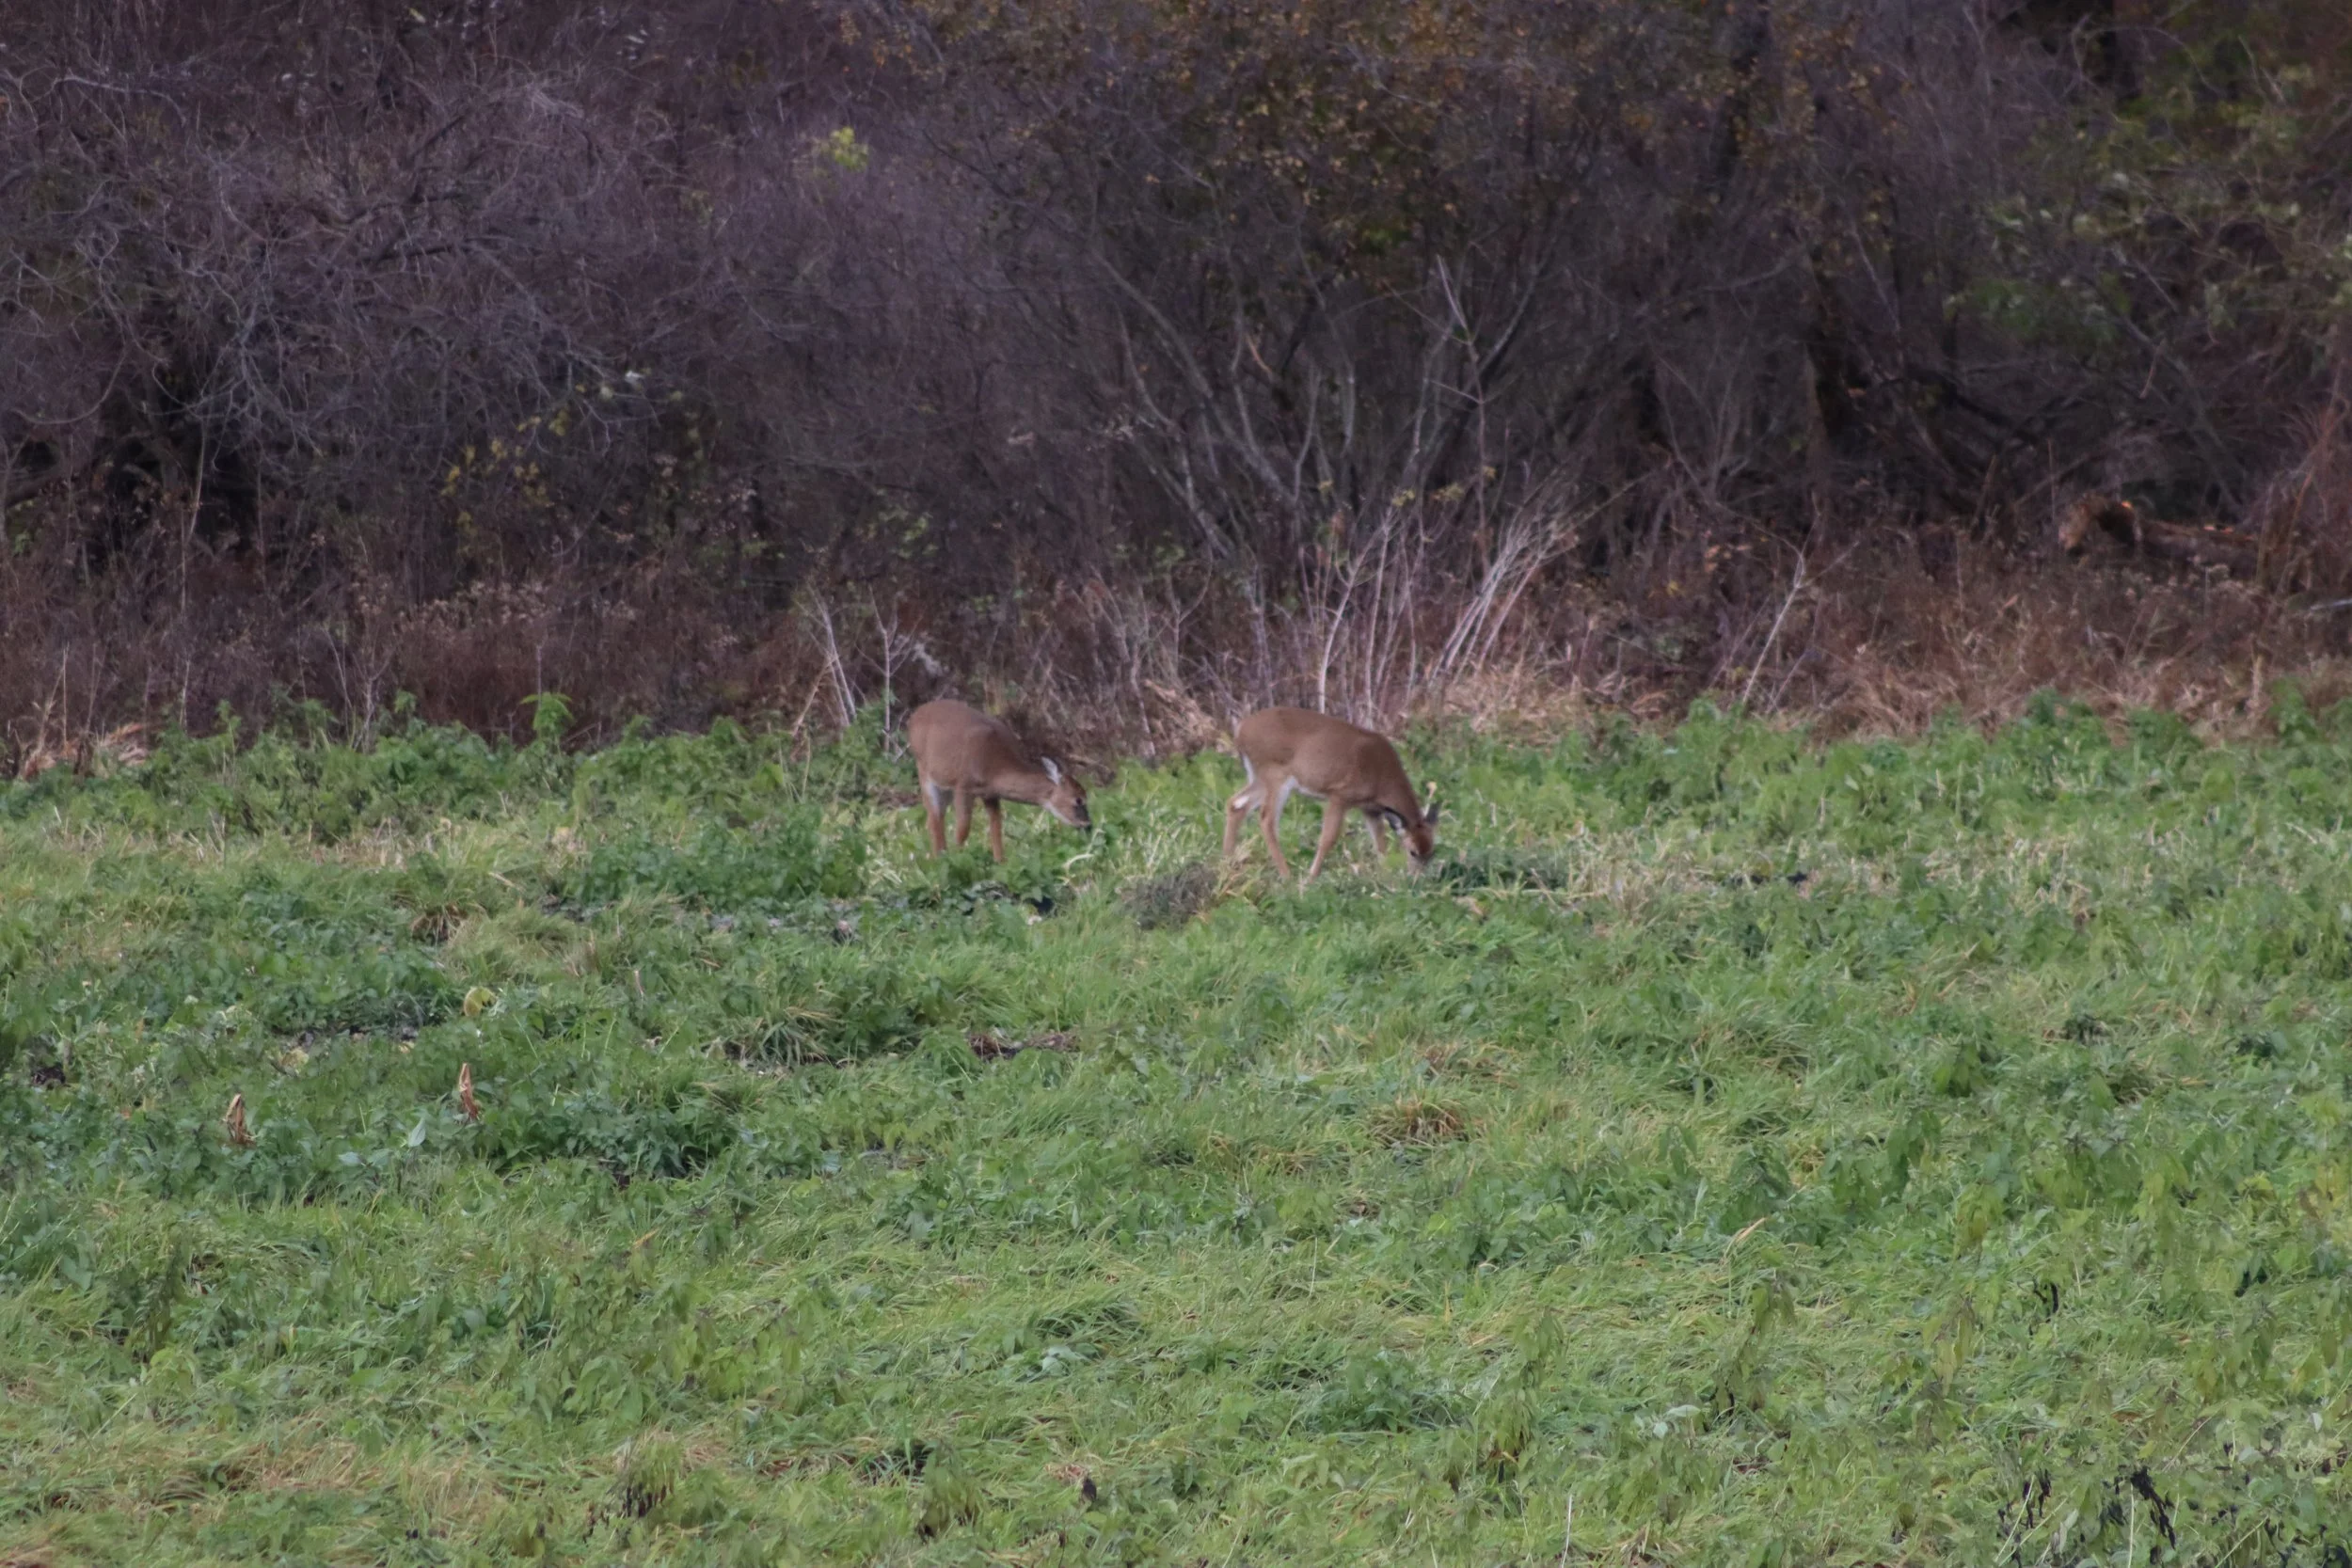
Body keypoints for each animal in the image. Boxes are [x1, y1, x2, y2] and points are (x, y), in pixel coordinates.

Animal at [905, 699, 1090, 861]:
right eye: (1078, 800)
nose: (1088, 826)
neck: (995, 766)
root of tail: (914, 716)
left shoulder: (990, 794)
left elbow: (996, 826)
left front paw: (1000, 861)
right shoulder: (963, 785)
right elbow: (963, 828)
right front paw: (956, 860)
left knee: (937, 816)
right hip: (924, 773)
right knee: (933, 817)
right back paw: (939, 858)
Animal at [1222, 707, 1438, 881]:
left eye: (1432, 852)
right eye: (1412, 852)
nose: (1417, 879)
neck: (1382, 777)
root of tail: (1240, 729)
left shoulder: (1370, 809)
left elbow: (1380, 844)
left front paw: (1386, 877)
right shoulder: (1340, 795)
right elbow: (1328, 838)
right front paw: (1311, 878)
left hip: (1259, 777)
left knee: (1236, 804)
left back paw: (1228, 861)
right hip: (1275, 775)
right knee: (1267, 819)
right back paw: (1287, 876)